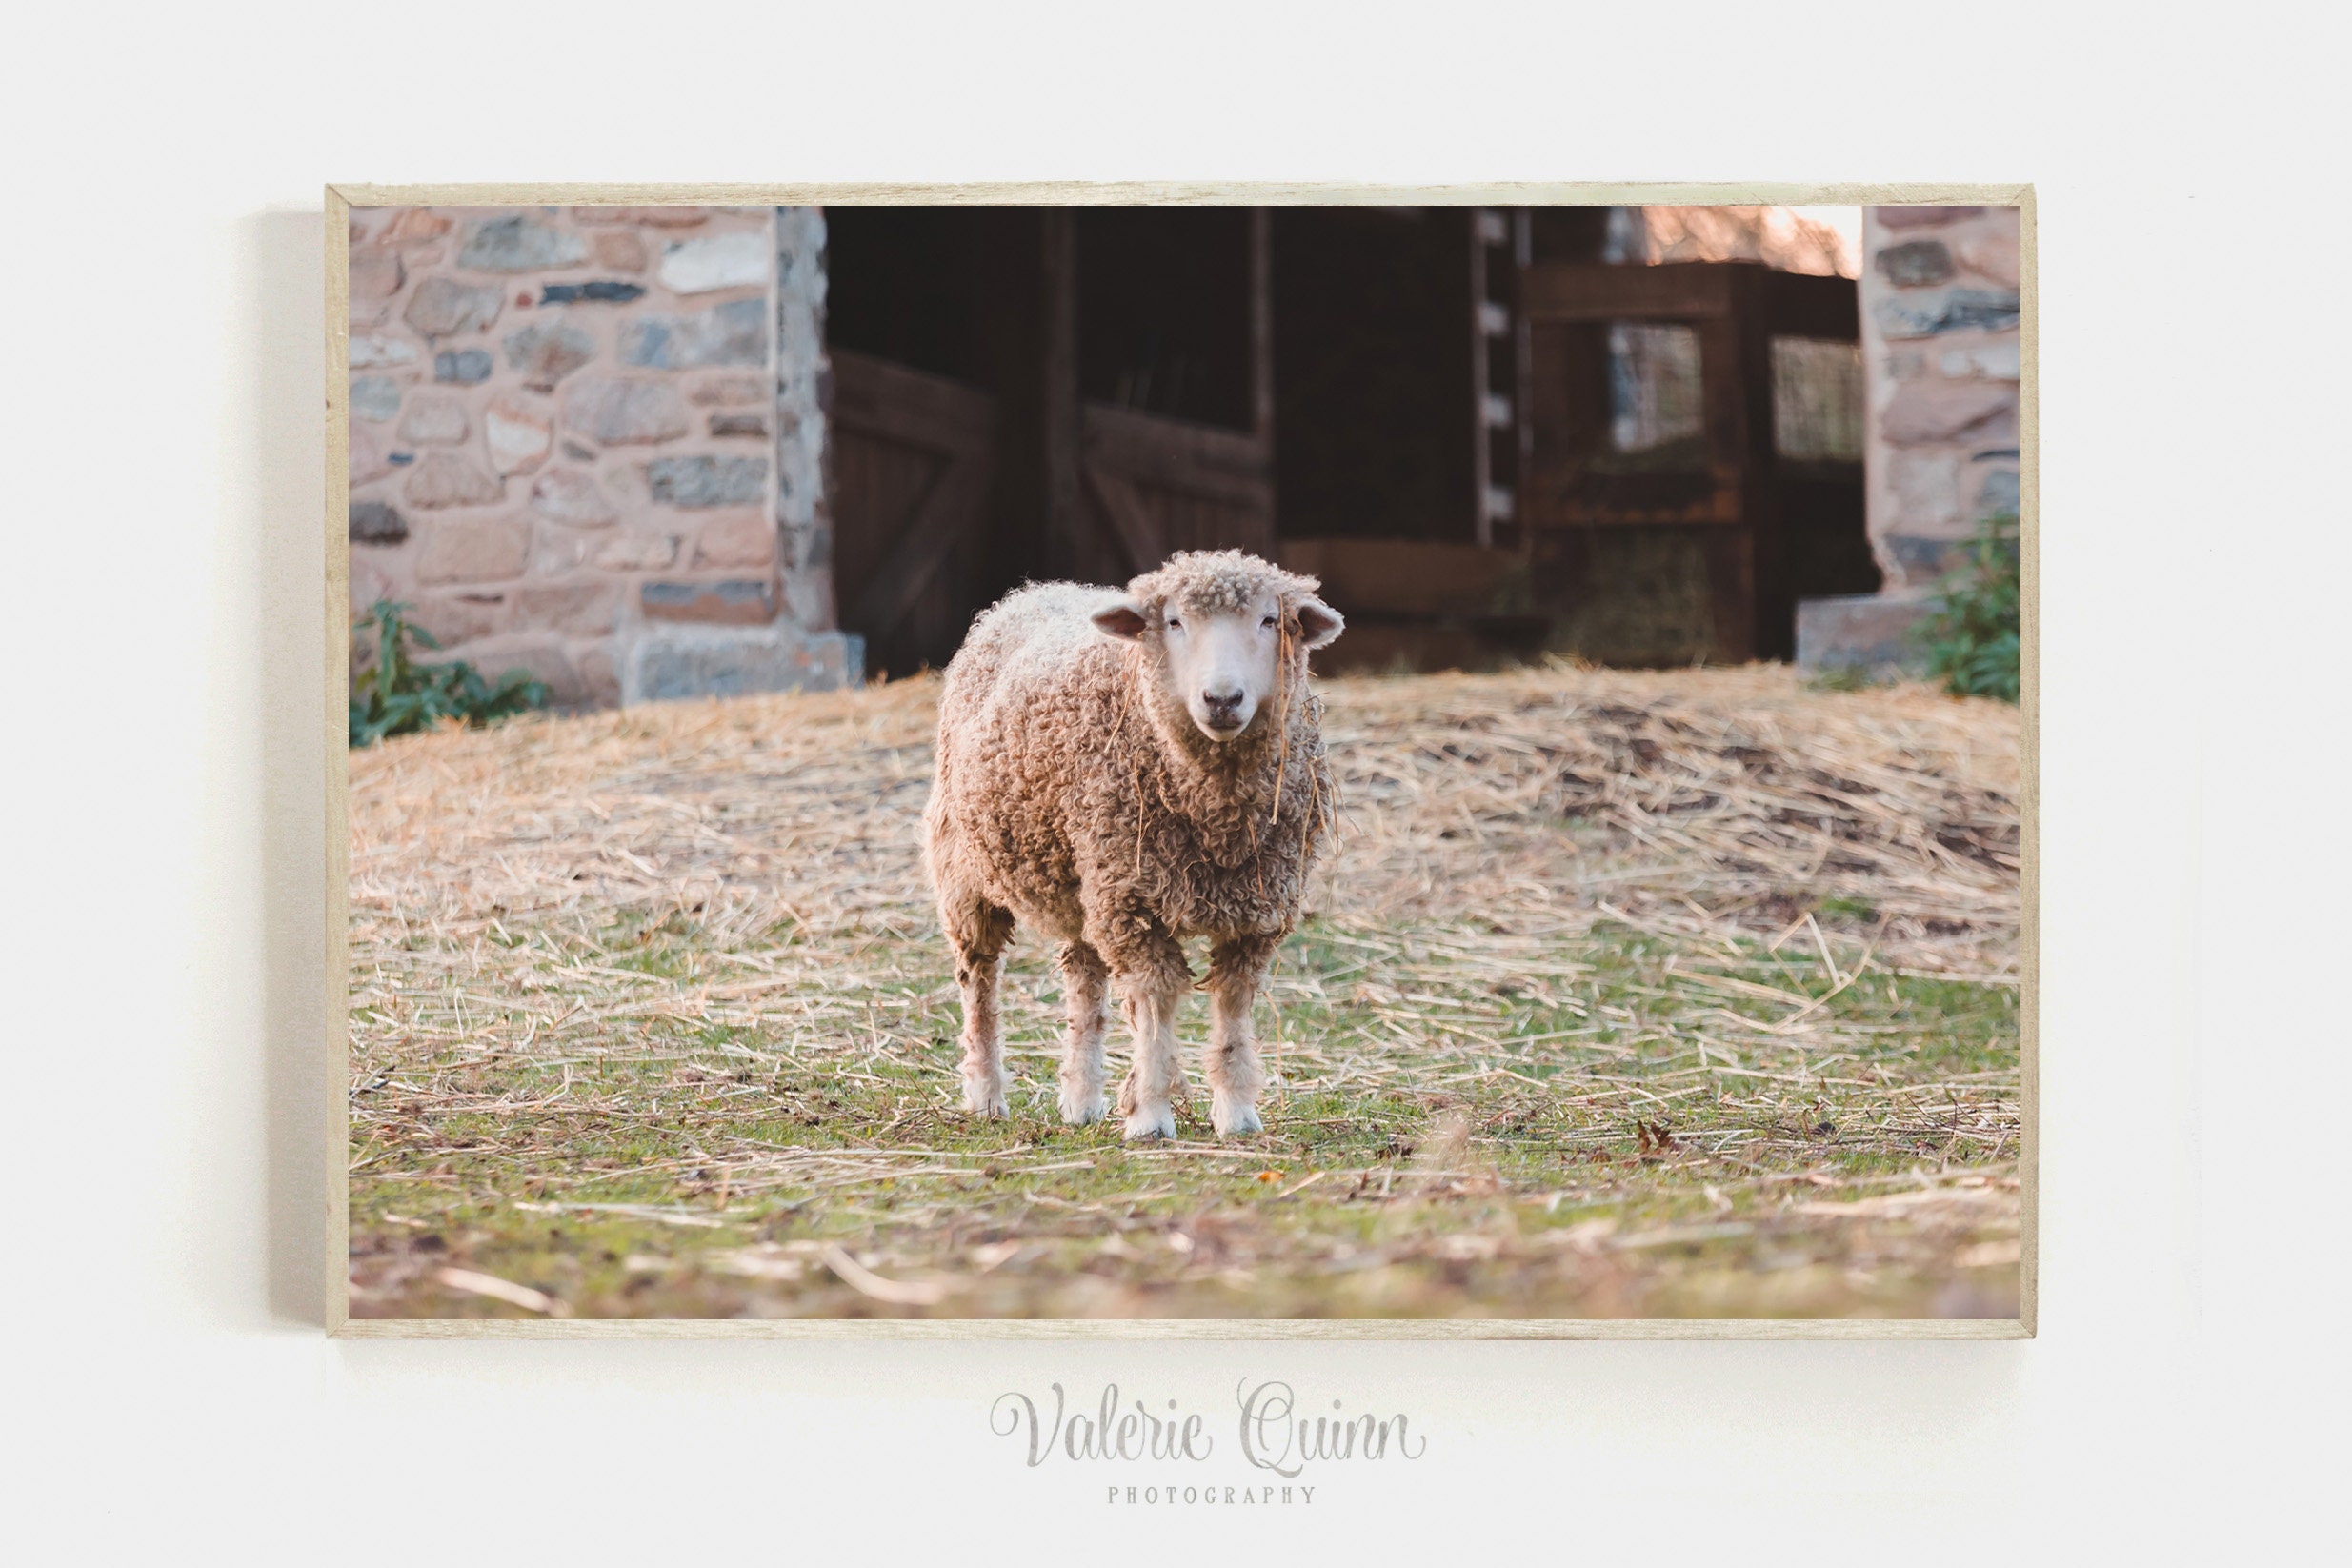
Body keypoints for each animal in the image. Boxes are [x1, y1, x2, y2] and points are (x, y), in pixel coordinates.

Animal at [922, 549, 1344, 1140]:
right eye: (1174, 622)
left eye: (1270, 620)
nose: (1222, 699)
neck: (1217, 816)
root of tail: (1037, 588)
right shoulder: (1134, 901)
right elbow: (1156, 1003)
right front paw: (1150, 1114)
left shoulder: (1255, 911)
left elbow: (1233, 1005)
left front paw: (1236, 1113)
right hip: (967, 870)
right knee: (979, 982)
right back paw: (985, 1095)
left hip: (1083, 879)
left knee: (1083, 982)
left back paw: (1081, 1100)